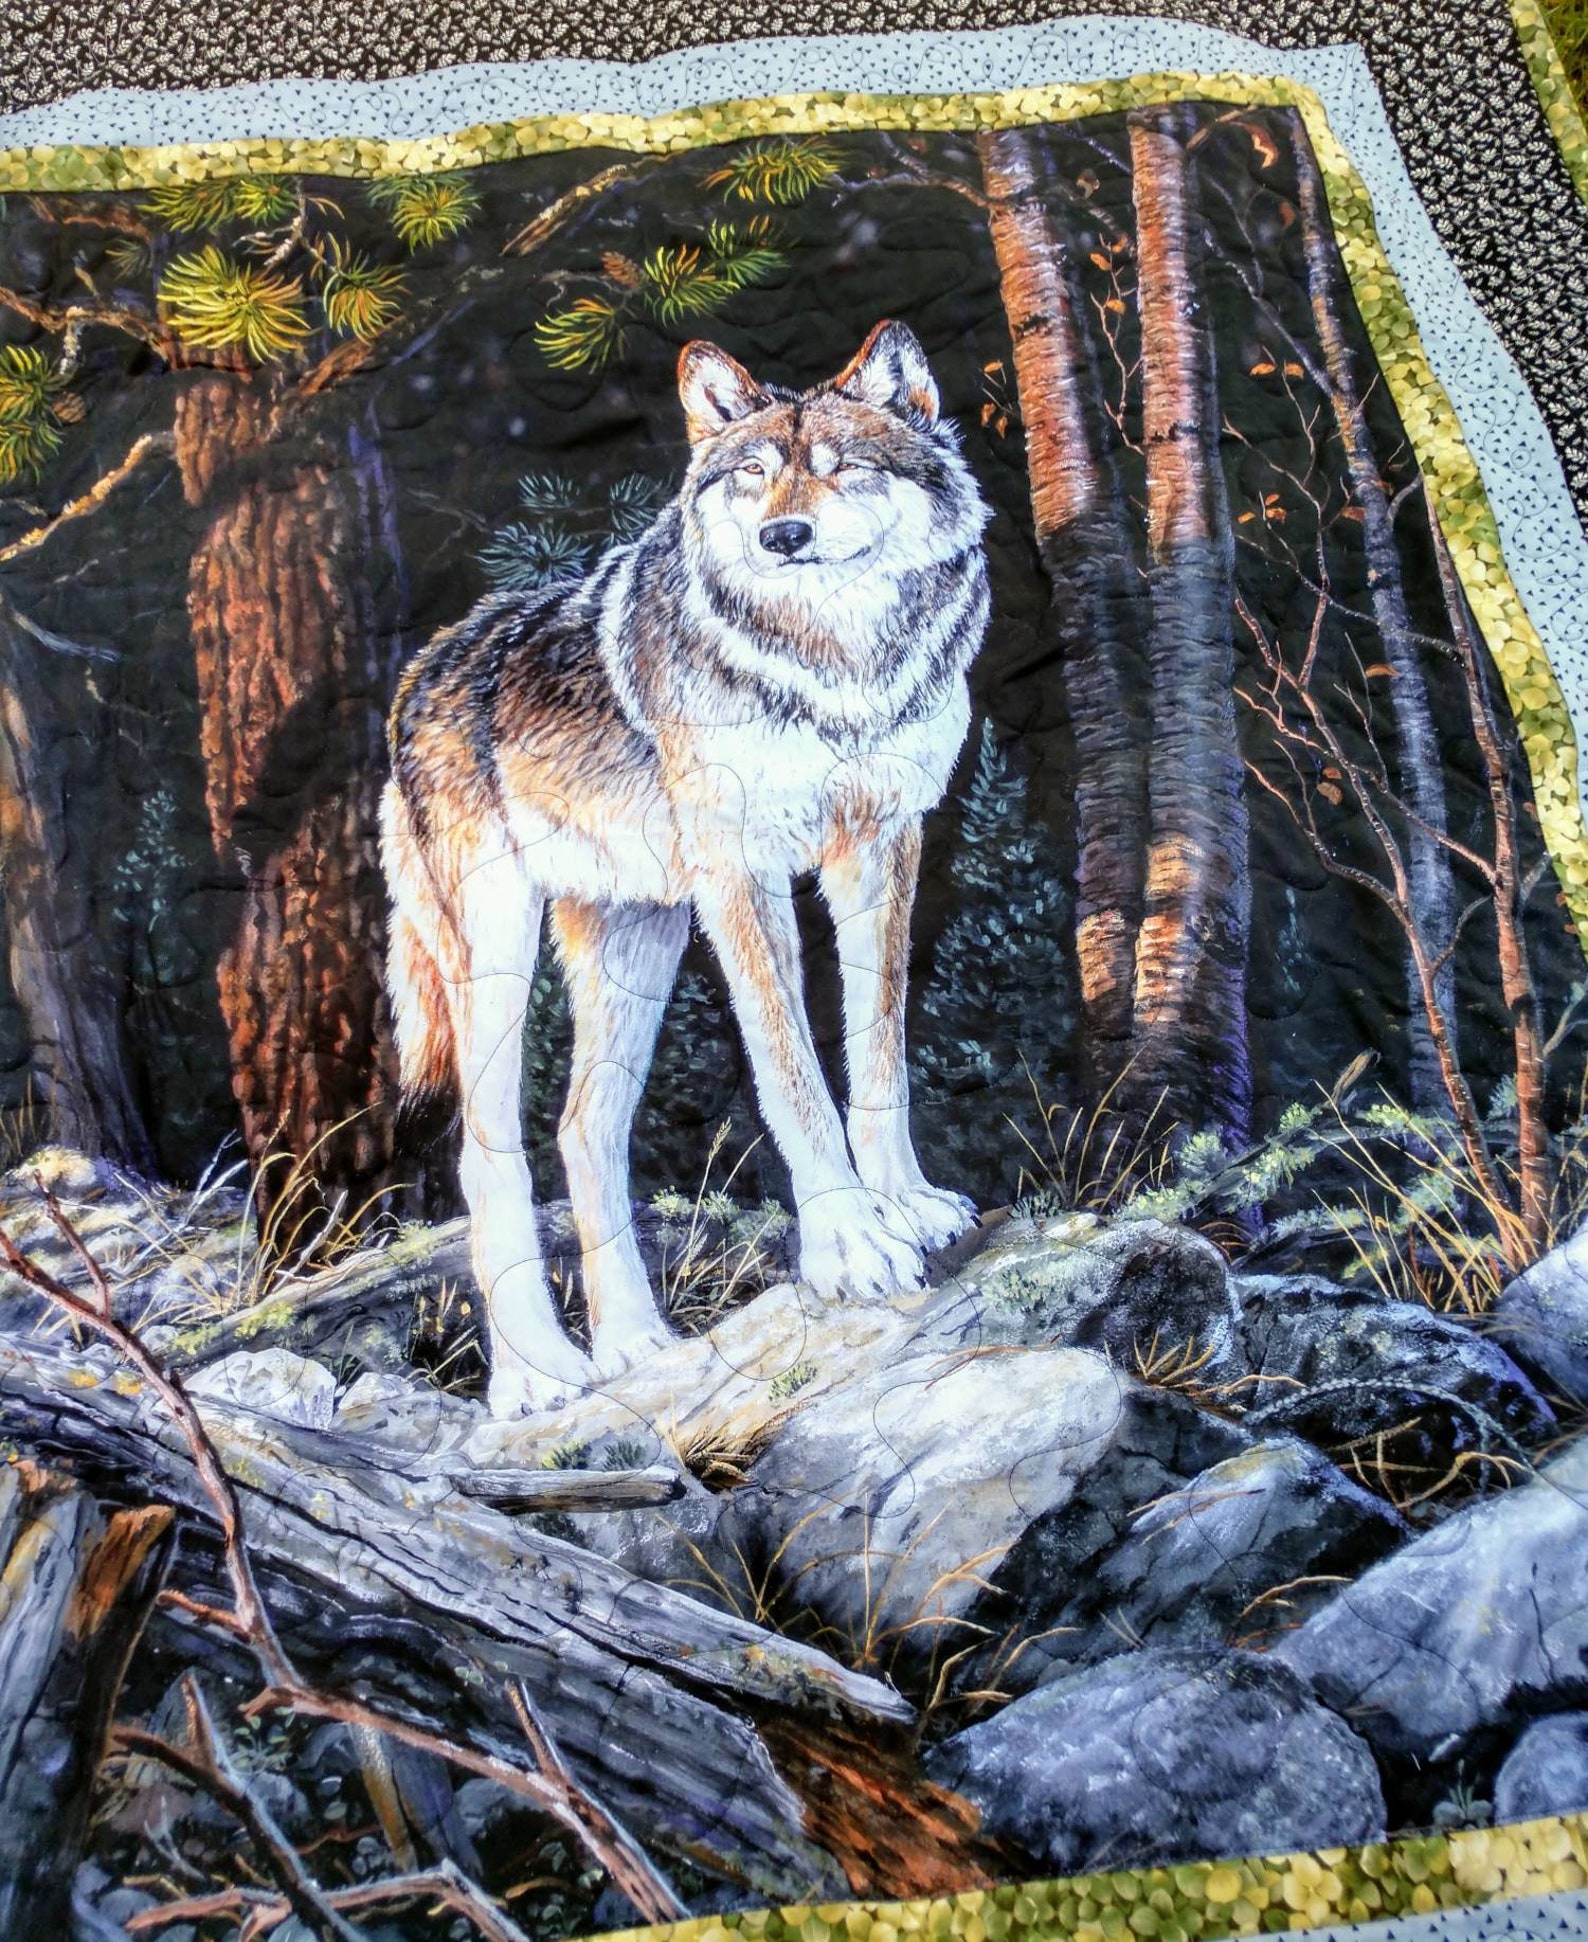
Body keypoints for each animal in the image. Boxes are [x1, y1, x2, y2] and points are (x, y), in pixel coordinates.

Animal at [381, 319, 993, 1414]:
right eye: (751, 476)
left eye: (841, 467)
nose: (783, 538)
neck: (837, 666)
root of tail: (421, 669)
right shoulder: (741, 870)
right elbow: (792, 1073)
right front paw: (850, 1244)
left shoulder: (882, 843)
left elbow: (878, 1053)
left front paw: (908, 1204)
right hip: (496, 955)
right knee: (486, 1155)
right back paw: (536, 1380)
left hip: (639, 944)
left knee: (583, 1129)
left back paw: (636, 1345)